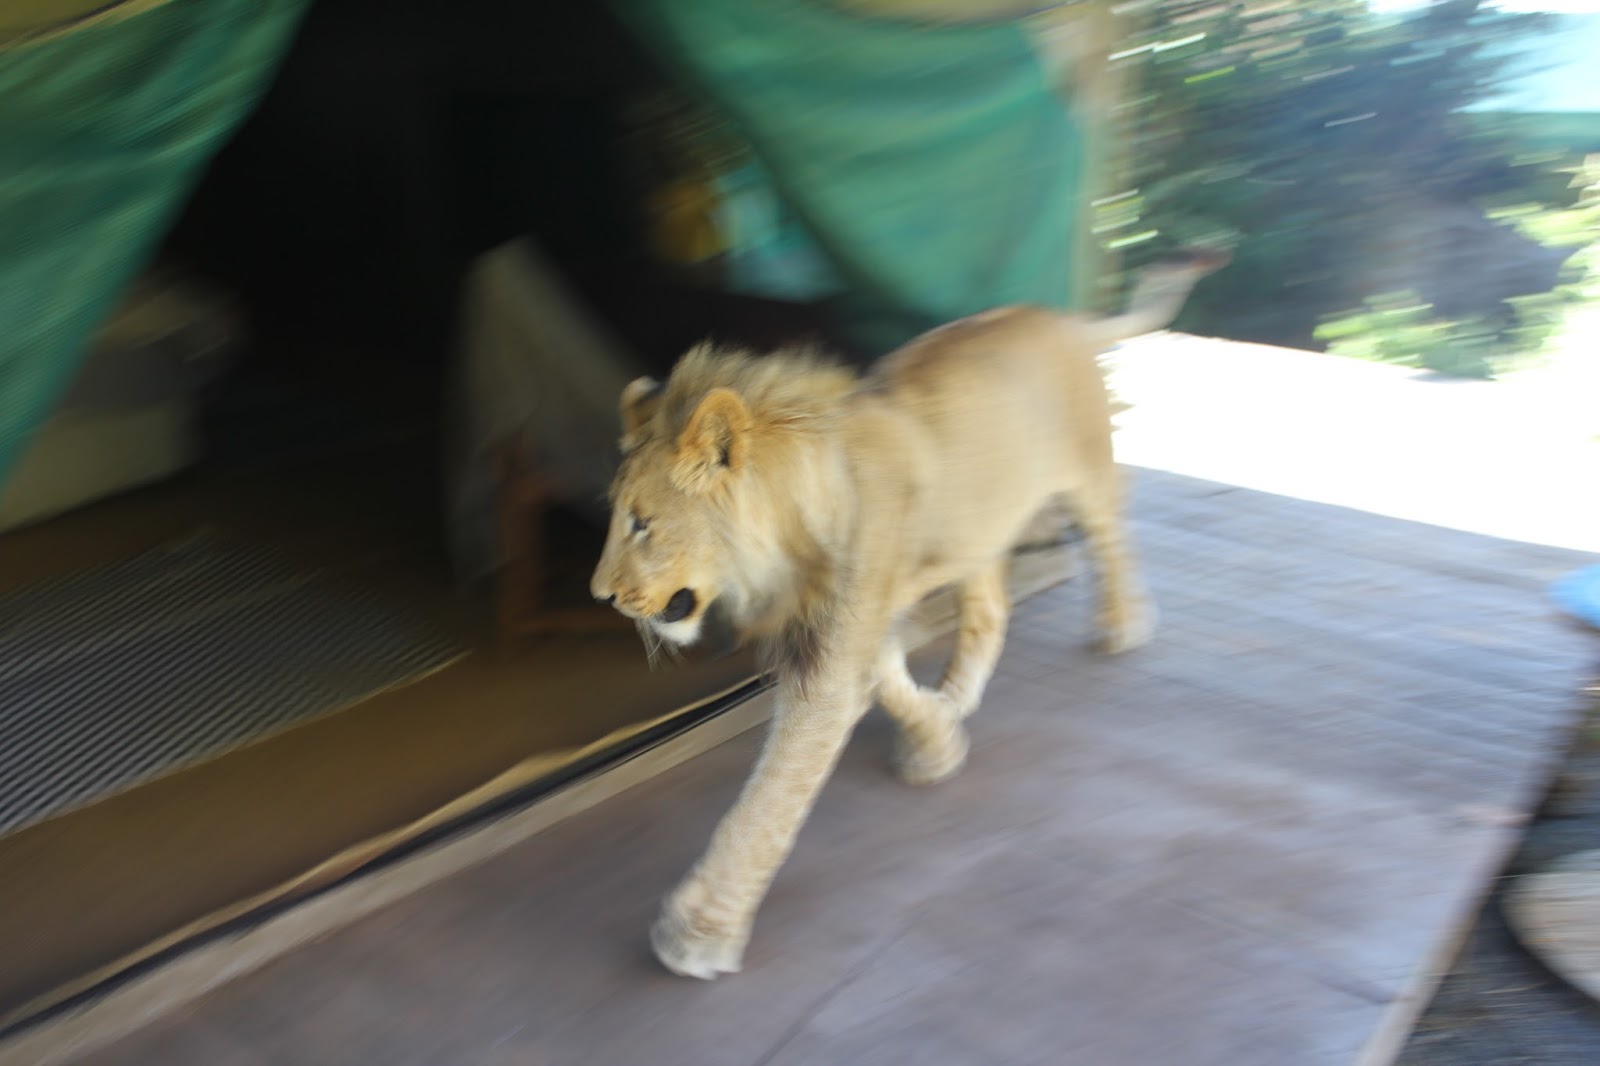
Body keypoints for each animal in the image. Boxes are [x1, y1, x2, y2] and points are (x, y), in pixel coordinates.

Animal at [590, 252, 1225, 979]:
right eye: (619, 516)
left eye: (643, 524)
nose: (600, 594)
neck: (788, 537)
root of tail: (1060, 315)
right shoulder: (837, 626)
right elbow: (889, 678)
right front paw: (937, 738)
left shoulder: (833, 653)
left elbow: (770, 797)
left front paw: (696, 933)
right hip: (979, 527)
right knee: (990, 610)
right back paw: (957, 693)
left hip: (1085, 473)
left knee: (1113, 531)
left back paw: (1123, 625)